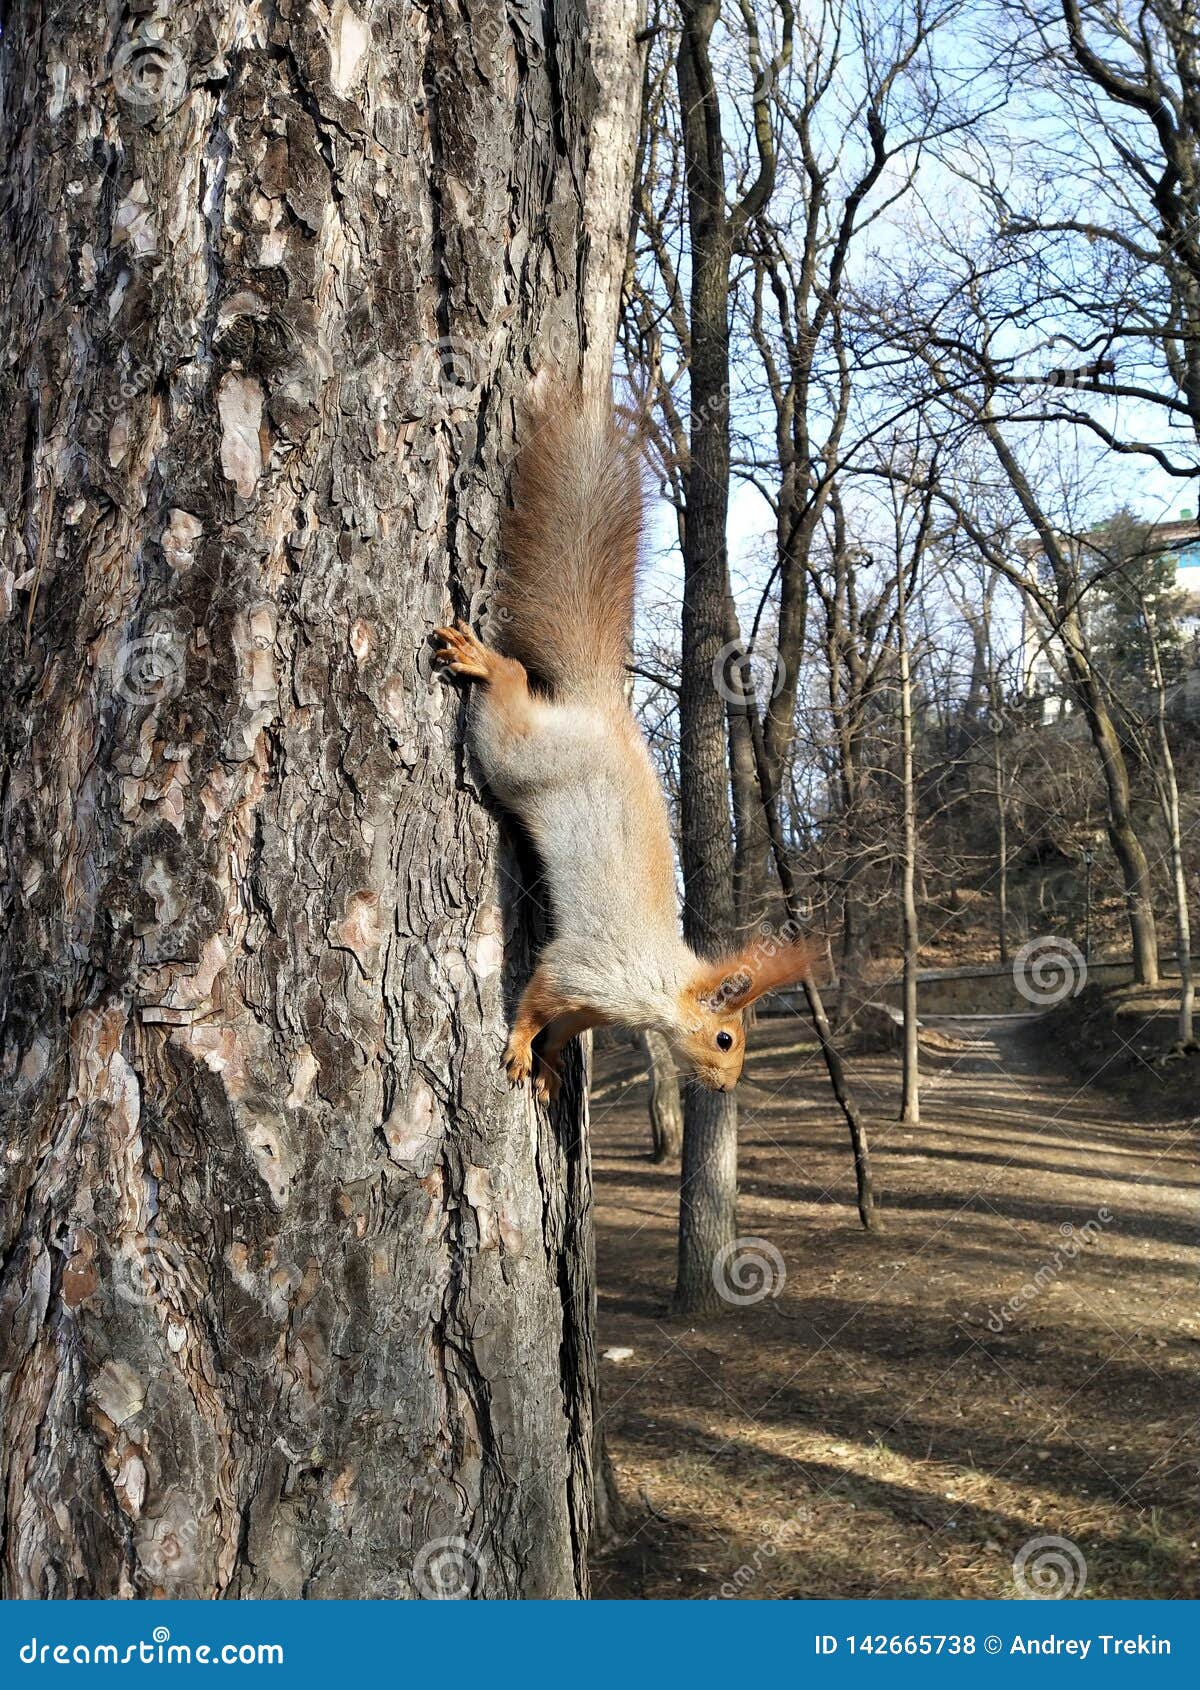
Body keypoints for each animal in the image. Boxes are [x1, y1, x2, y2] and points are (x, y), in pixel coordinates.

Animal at [433, 380, 816, 1102]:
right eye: (726, 1039)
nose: (726, 1087)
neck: (657, 984)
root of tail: (601, 709)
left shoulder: (591, 1004)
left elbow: (561, 1025)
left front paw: (551, 1066)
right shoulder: (586, 968)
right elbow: (537, 999)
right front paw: (521, 1049)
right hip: (519, 756)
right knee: (512, 690)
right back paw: (484, 662)